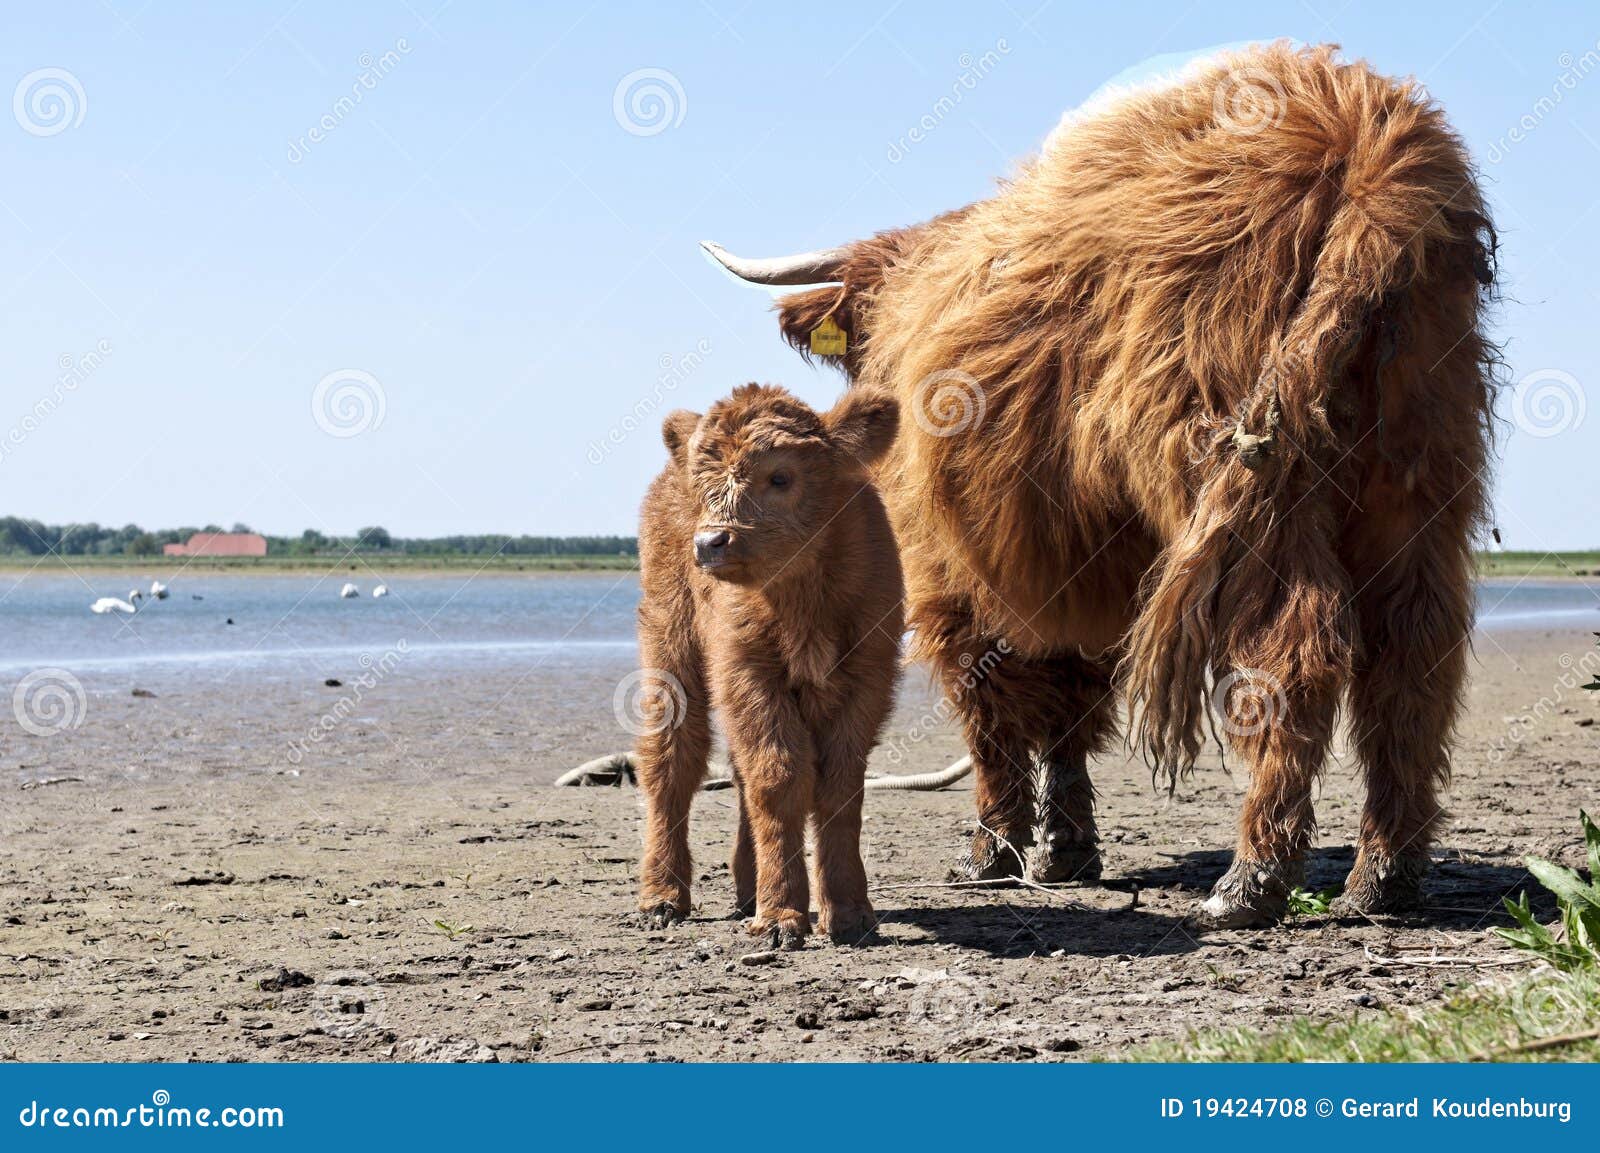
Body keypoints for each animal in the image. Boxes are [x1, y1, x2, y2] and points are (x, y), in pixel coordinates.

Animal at [633, 383, 903, 948]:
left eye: (781, 476)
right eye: (703, 483)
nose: (710, 542)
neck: (801, 594)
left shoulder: (869, 677)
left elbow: (840, 783)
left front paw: (850, 914)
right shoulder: (748, 671)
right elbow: (779, 777)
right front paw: (781, 918)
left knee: (737, 773)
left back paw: (746, 888)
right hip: (670, 650)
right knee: (672, 762)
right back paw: (662, 899)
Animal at [703, 43, 1497, 928]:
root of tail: (1362, 131)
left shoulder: (947, 575)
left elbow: (991, 711)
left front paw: (994, 850)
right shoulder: (1074, 558)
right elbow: (1071, 703)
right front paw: (1066, 846)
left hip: (1250, 484)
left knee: (1294, 653)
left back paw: (1252, 878)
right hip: (1419, 484)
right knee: (1413, 658)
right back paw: (1382, 876)